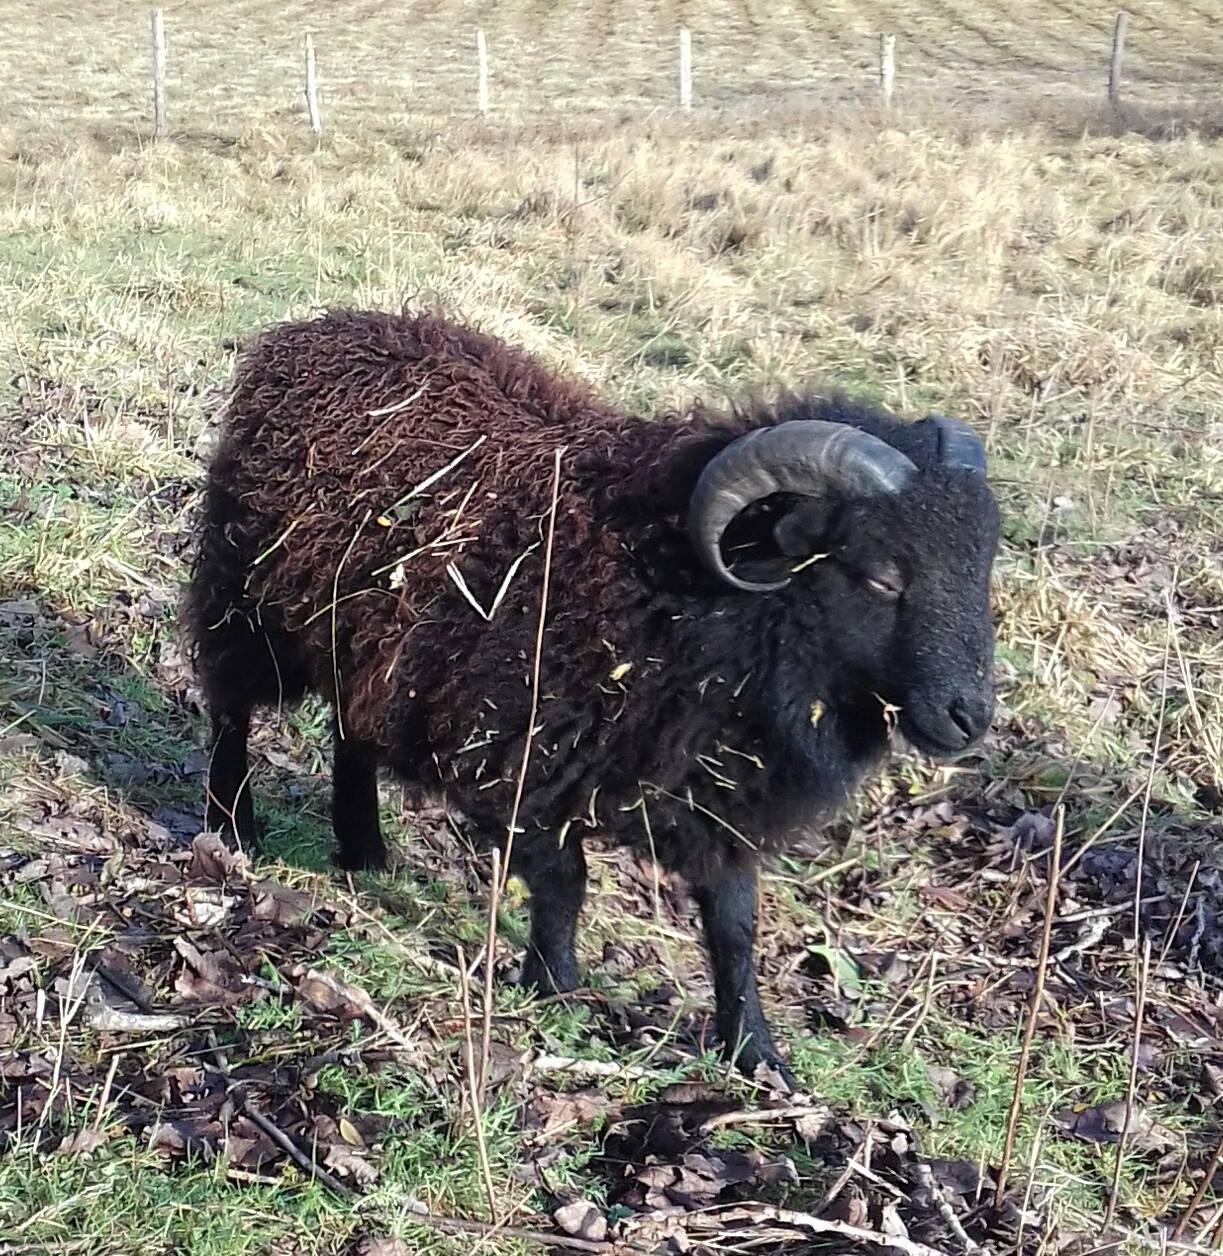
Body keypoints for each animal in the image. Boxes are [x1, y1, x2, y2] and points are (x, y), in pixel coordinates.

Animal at [185, 307, 999, 1082]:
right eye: (880, 576)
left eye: (981, 567)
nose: (969, 718)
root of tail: (316, 330)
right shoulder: (522, 757)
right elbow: (563, 882)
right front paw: (557, 988)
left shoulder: (718, 793)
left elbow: (734, 925)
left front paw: (757, 1054)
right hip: (245, 597)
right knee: (230, 709)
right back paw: (232, 826)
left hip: (364, 641)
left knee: (353, 733)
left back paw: (365, 850)